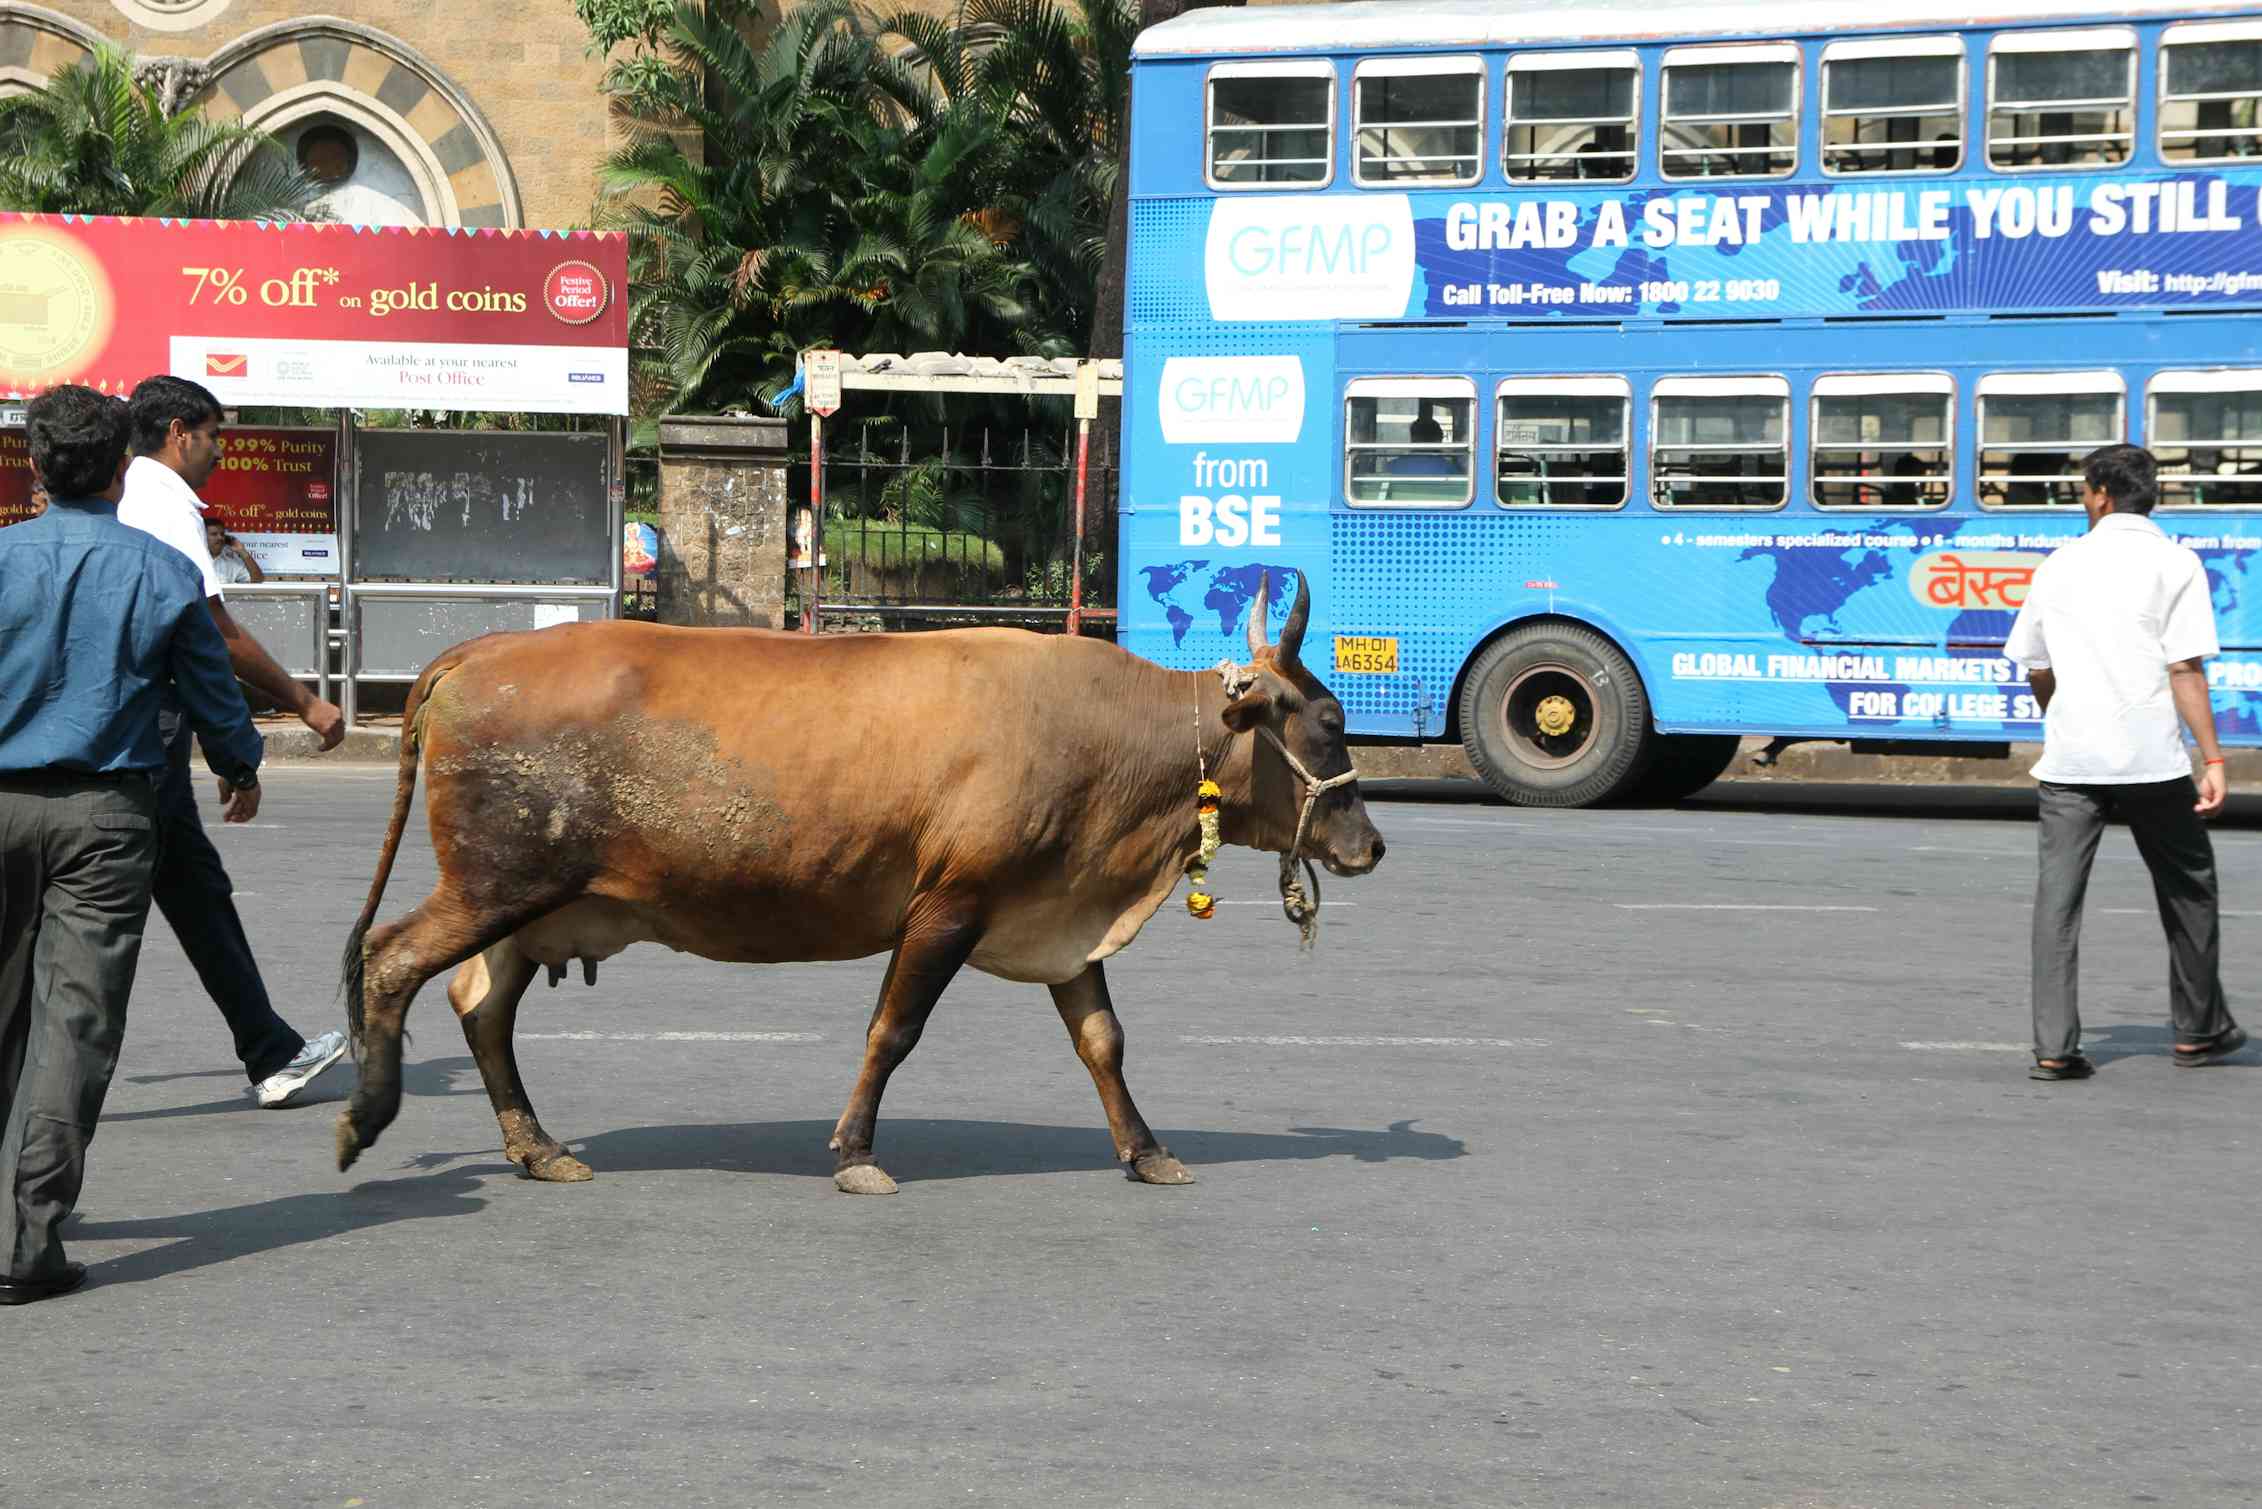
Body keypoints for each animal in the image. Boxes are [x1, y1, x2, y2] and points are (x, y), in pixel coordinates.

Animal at [335, 570, 1385, 1194]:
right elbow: (894, 1029)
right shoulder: (950, 905)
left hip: (529, 902)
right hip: (495, 884)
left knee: (480, 1005)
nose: (1371, 846)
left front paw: (1148, 1148)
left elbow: (1102, 1041)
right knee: (391, 962)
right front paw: (856, 1152)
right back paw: (366, 1115)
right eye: (1330, 724)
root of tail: (474, 651)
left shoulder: (1058, 916)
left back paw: (536, 1146)